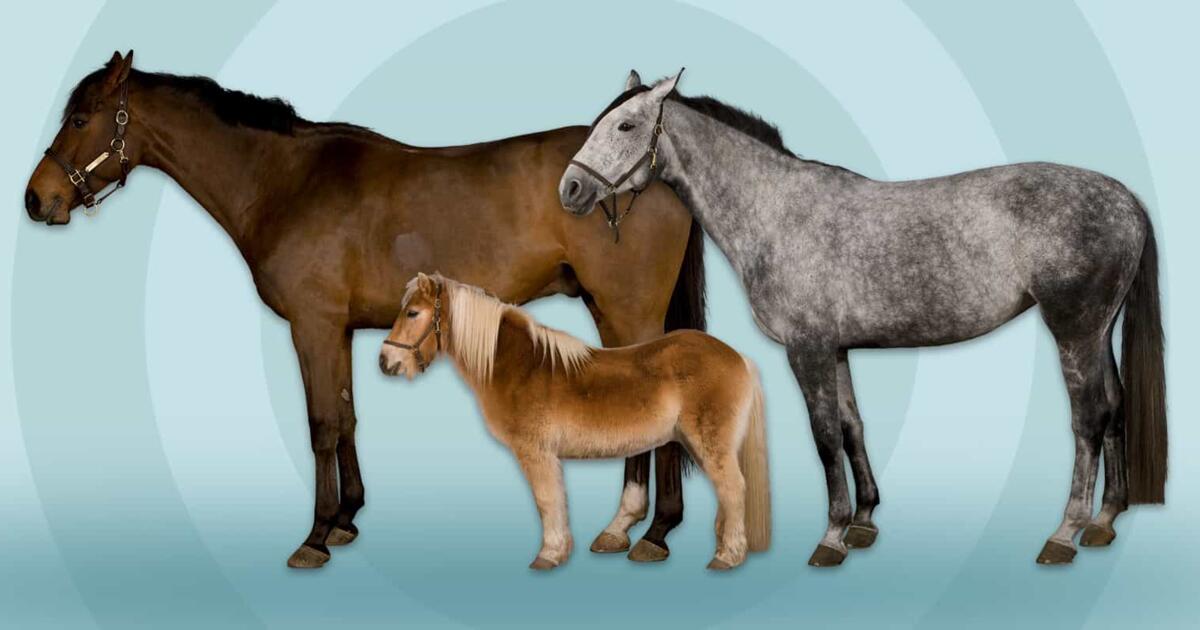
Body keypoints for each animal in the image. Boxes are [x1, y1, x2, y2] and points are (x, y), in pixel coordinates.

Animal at [23, 51, 707, 568]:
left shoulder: (314, 327)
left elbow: (322, 424)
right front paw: (348, 519)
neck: (284, 180)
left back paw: (651, 532)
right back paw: (634, 528)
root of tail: (660, 175)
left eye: (80, 118)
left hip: (628, 312)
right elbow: (347, 417)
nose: (36, 199)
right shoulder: (341, 331)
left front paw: (316, 536)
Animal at [378, 273, 770, 570]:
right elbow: (554, 501)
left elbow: (547, 501)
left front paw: (549, 555)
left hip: (710, 444)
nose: (386, 361)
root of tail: (739, 358)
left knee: (733, 489)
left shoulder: (536, 453)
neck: (519, 365)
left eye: (412, 312)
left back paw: (726, 557)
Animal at [559, 70, 1167, 568]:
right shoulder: (835, 349)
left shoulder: (807, 349)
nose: (570, 188)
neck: (775, 212)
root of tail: (1125, 200)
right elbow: (852, 428)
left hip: (1074, 330)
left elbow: (825, 436)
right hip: (1098, 332)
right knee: (1115, 407)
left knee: (1088, 419)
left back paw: (1064, 534)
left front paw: (830, 538)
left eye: (626, 124)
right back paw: (1104, 523)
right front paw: (863, 523)